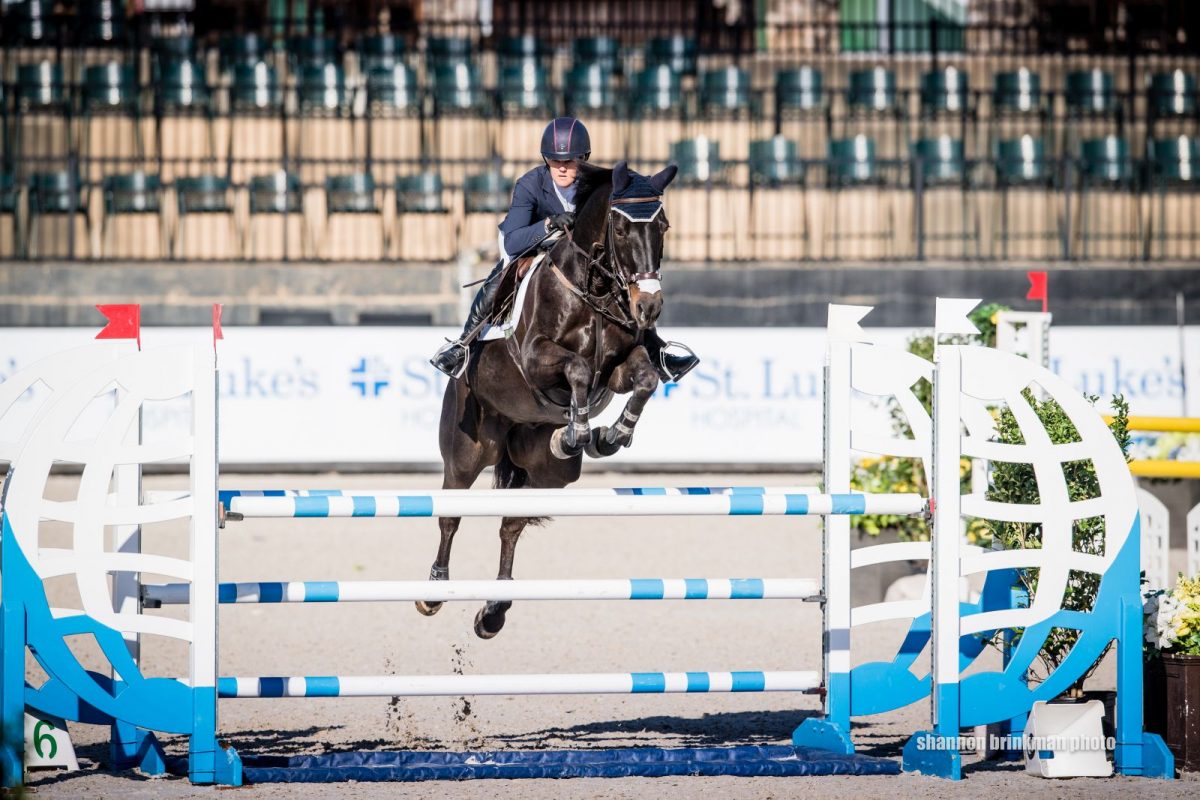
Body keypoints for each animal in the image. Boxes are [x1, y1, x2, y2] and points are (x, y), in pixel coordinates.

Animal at [417, 160, 678, 638]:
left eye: (663, 226)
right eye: (620, 228)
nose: (648, 308)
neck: (593, 289)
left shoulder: (618, 368)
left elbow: (646, 379)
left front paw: (610, 435)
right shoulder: (535, 358)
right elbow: (576, 369)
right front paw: (579, 430)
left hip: (544, 470)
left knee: (512, 524)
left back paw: (494, 611)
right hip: (466, 451)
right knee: (450, 516)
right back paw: (435, 591)